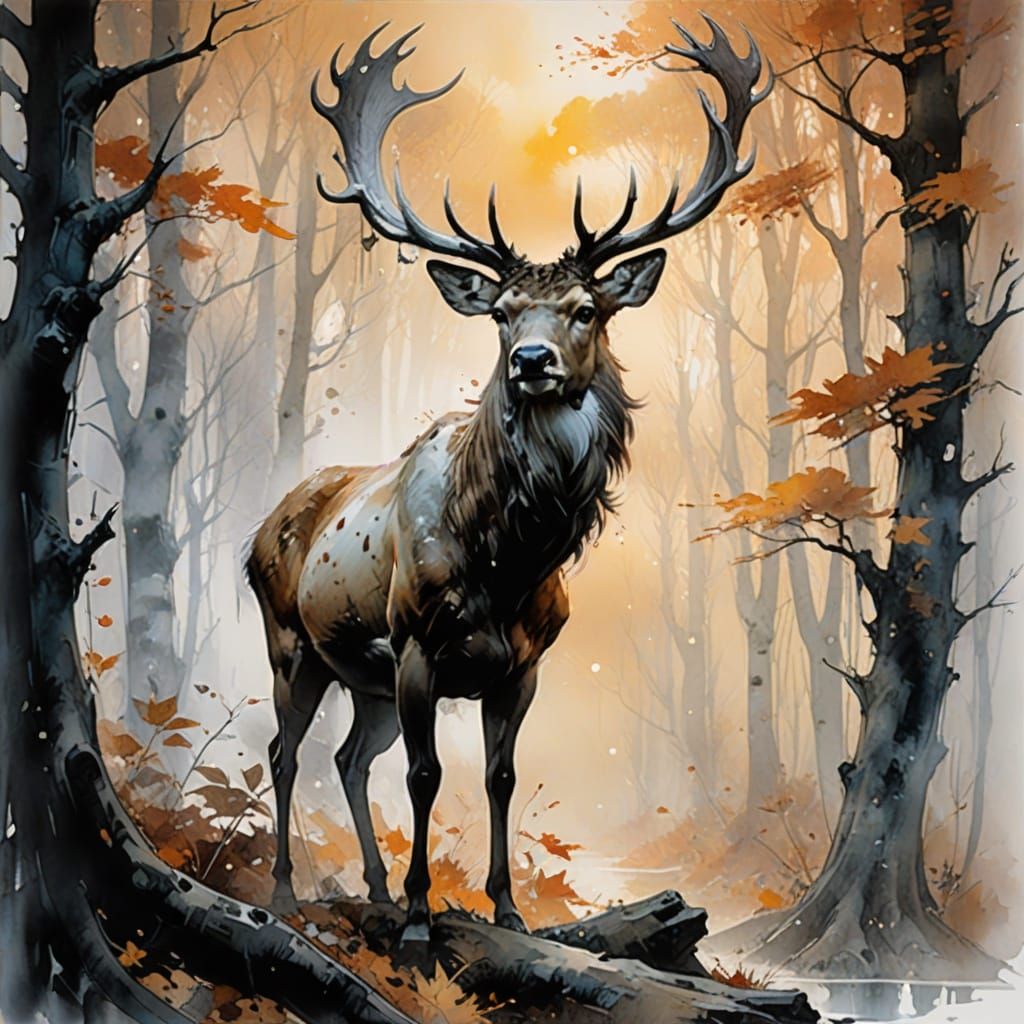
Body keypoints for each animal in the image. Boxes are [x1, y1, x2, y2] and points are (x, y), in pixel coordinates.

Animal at [247, 18, 769, 943]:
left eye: (586, 310)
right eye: (499, 314)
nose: (531, 362)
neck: (507, 556)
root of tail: (254, 531)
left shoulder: (523, 664)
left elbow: (499, 778)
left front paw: (506, 908)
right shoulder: (417, 642)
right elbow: (425, 778)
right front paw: (423, 914)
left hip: (363, 680)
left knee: (348, 757)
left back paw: (371, 887)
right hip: (292, 642)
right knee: (286, 751)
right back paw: (284, 895)